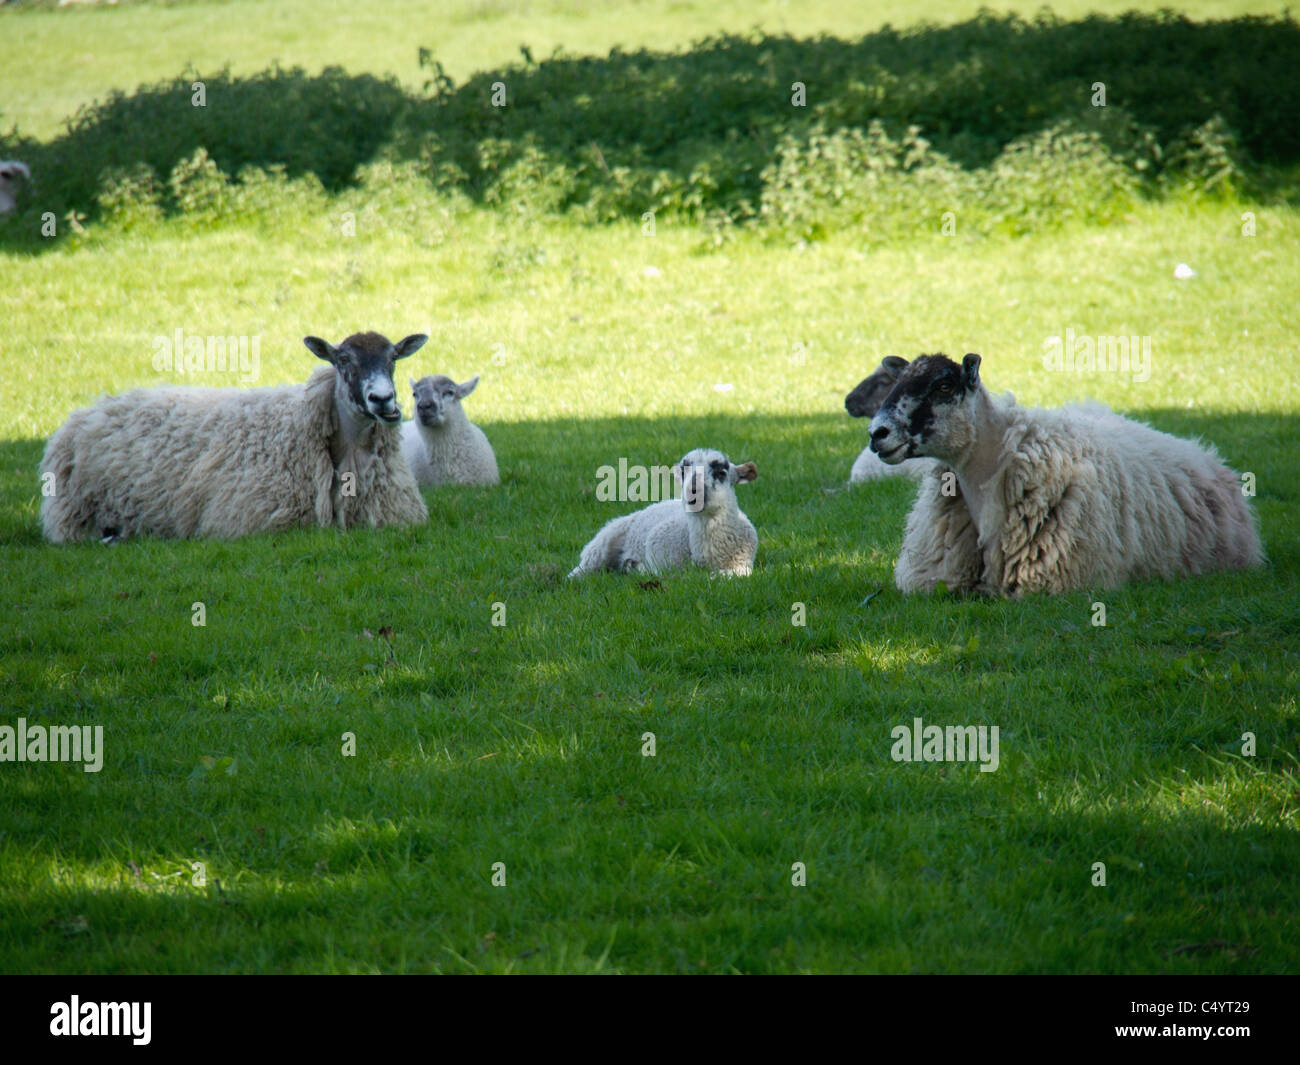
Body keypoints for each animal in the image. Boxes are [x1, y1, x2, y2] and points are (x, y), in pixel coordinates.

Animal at [568, 448, 758, 578]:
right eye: (683, 471)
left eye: (721, 472)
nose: (694, 491)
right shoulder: (662, 563)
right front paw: (635, 567)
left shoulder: (743, 564)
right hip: (603, 542)